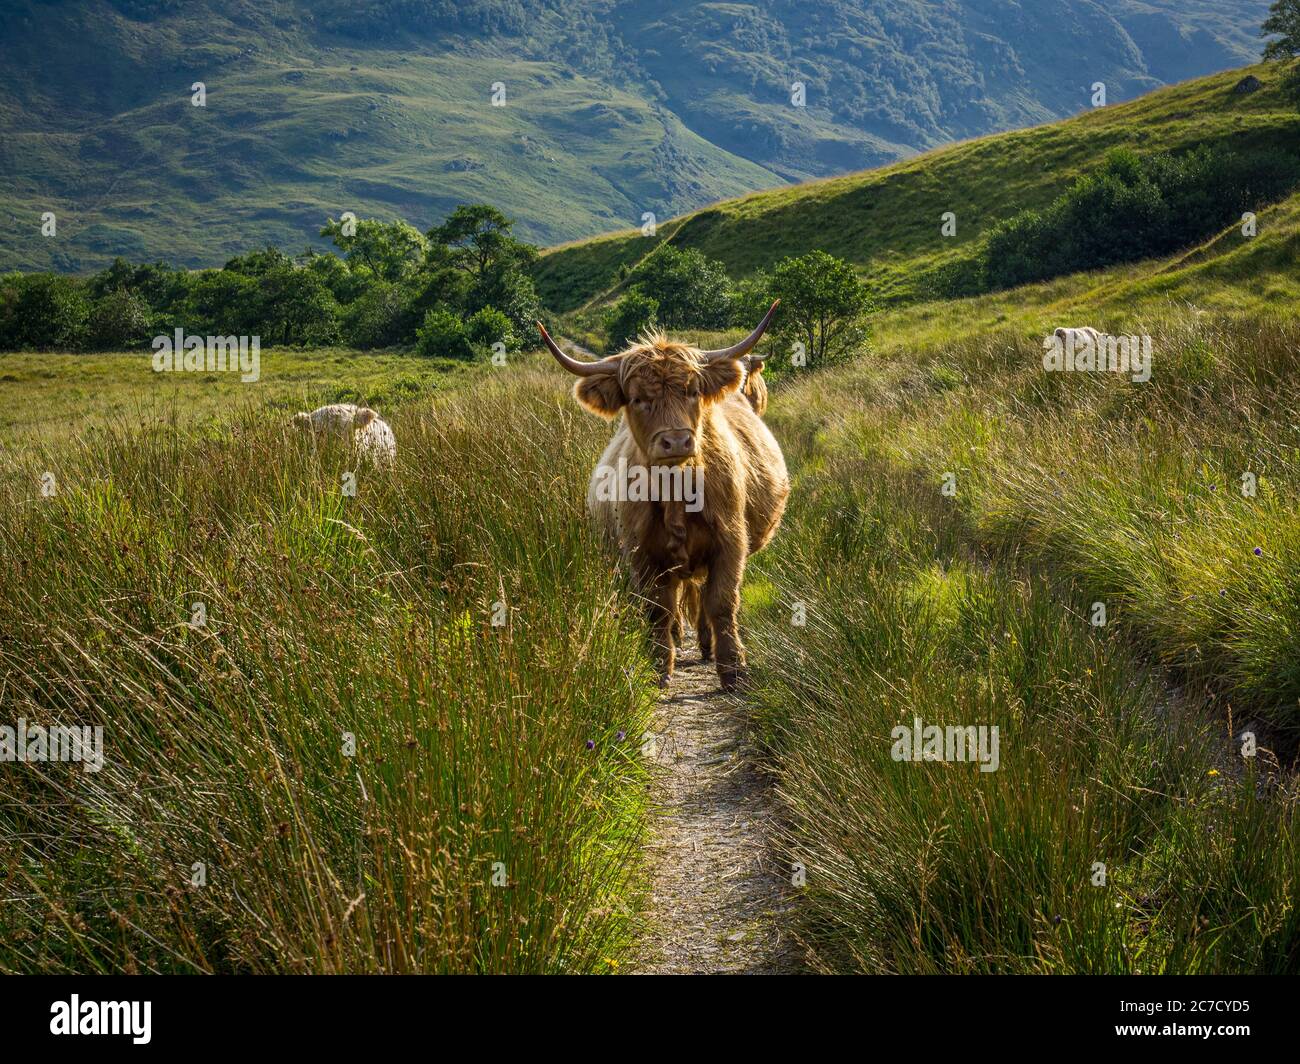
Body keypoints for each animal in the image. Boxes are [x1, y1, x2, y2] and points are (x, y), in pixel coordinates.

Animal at [538, 304, 789, 690]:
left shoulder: (731, 541)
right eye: (638, 399)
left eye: (692, 391)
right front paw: (660, 666)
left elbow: (721, 603)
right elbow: (657, 608)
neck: (677, 491)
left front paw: (733, 670)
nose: (676, 441)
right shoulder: (641, 552)